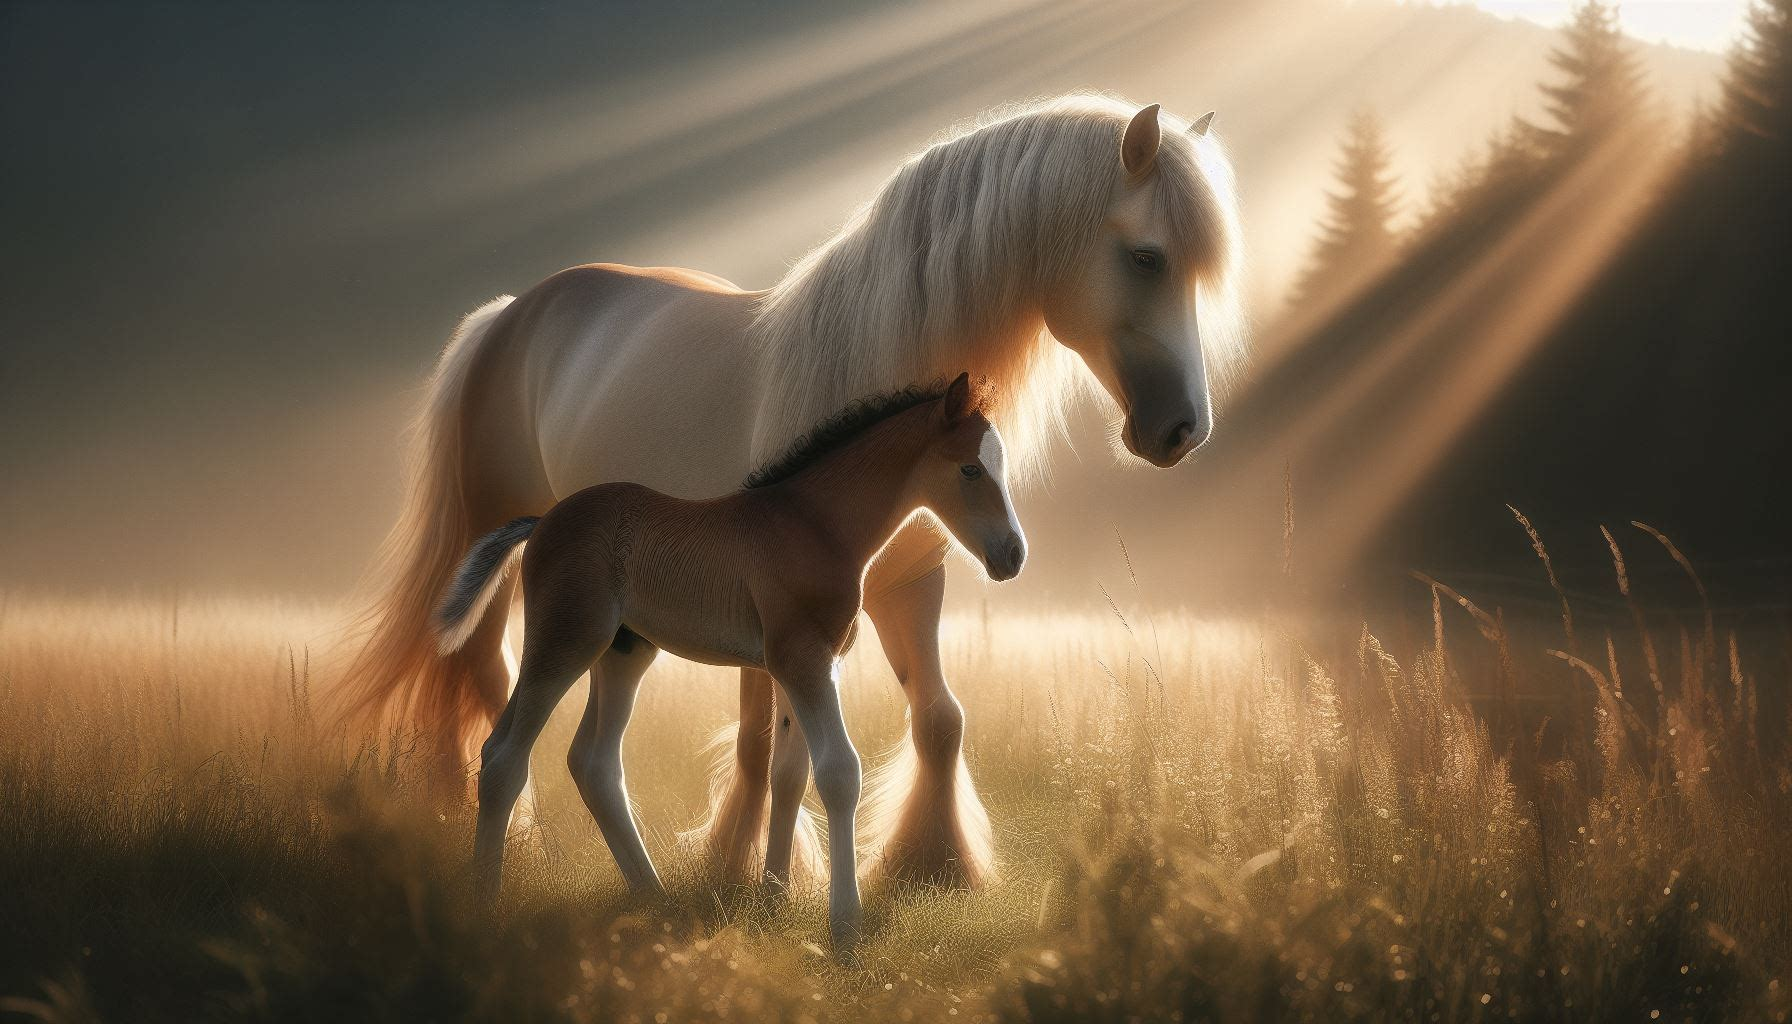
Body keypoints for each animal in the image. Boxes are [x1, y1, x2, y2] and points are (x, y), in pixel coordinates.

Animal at [334, 93, 1246, 890]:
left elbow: (937, 719)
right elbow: (763, 746)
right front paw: (743, 868)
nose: (1183, 431)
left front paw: (931, 864)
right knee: (489, 680)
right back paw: (511, 841)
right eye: (1146, 256)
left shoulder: (910, 580)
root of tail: (506, 315)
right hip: (500, 557)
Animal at [437, 373, 1022, 949]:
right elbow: (838, 771)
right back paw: (485, 905)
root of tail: (541, 522)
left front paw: (774, 898)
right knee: (505, 755)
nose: (1014, 556)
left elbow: (790, 771)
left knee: (592, 761)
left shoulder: (801, 665)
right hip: (564, 643)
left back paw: (654, 897)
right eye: (970, 468)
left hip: (625, 651)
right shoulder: (803, 660)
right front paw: (844, 925)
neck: (816, 525)